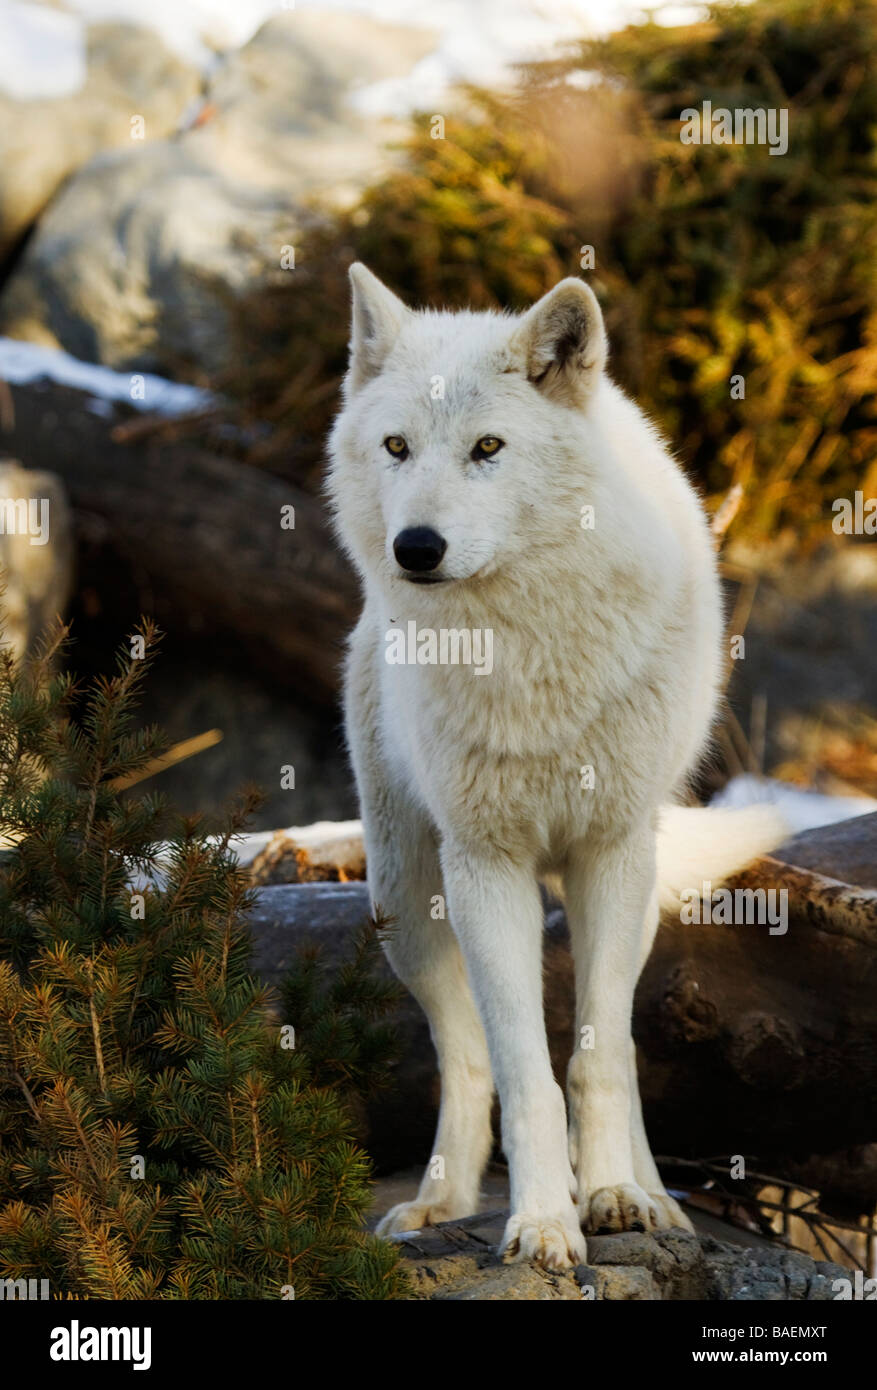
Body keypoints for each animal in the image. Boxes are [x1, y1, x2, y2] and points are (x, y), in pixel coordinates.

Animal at [327, 263, 786, 1271]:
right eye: (396, 446)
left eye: (487, 448)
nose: (415, 548)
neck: (526, 644)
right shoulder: (484, 863)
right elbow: (522, 1072)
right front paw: (541, 1221)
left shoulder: (606, 852)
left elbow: (597, 1056)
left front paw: (612, 1197)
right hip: (403, 898)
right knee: (463, 1058)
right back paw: (439, 1202)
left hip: (630, 877)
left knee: (616, 1042)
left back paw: (654, 1196)